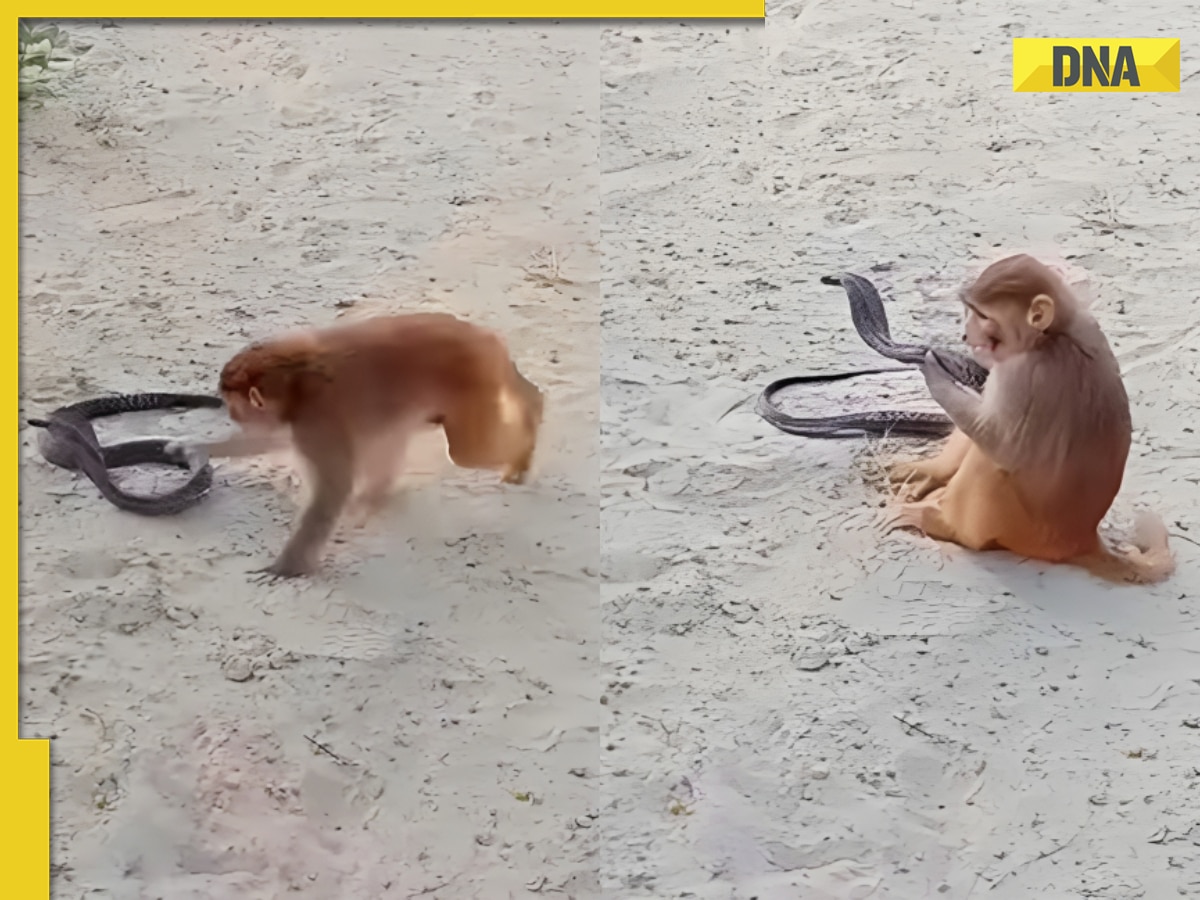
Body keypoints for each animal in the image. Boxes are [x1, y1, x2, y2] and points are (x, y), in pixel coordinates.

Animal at [170, 312, 544, 578]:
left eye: (233, 404)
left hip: (472, 385)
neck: (297, 380)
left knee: (468, 451)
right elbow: (270, 438)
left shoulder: (316, 422)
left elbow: (332, 488)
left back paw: (527, 428)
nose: (232, 414)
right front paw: (192, 448)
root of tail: (485, 339)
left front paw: (286, 568)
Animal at [886, 254, 1173, 585]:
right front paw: (933, 469)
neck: (1053, 333)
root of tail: (1082, 538)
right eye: (971, 311)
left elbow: (996, 439)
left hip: (1022, 529)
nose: (965, 335)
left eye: (982, 315)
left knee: (992, 461)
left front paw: (935, 372)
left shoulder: (1021, 371)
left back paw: (944, 524)